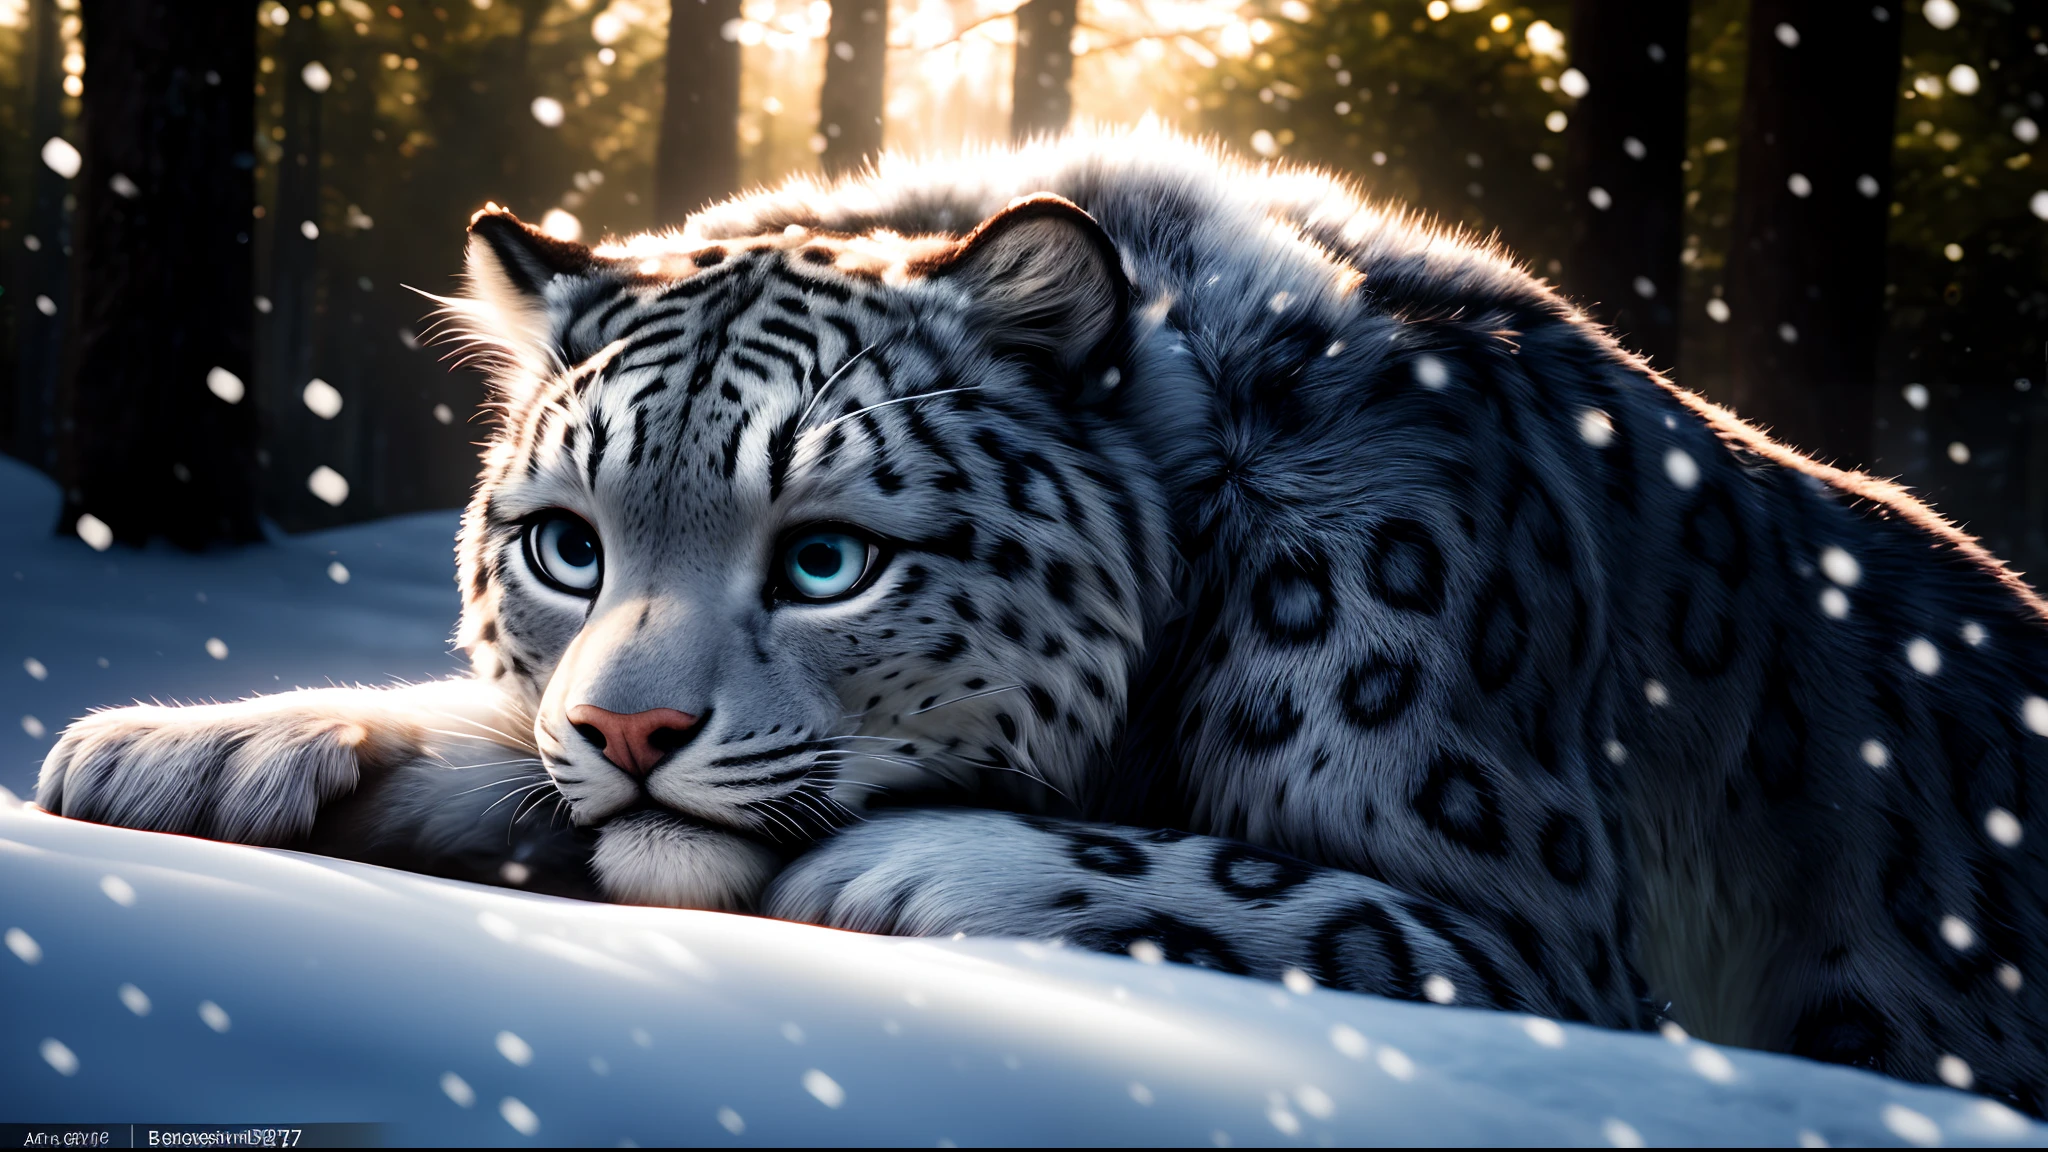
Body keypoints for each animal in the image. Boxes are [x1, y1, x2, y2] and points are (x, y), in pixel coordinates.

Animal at [37, 126, 2048, 1111]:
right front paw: (172, 752)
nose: (630, 734)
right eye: (564, 546)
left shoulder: (1538, 947)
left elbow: (1248, 878)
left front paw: (898, 871)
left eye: (825, 558)